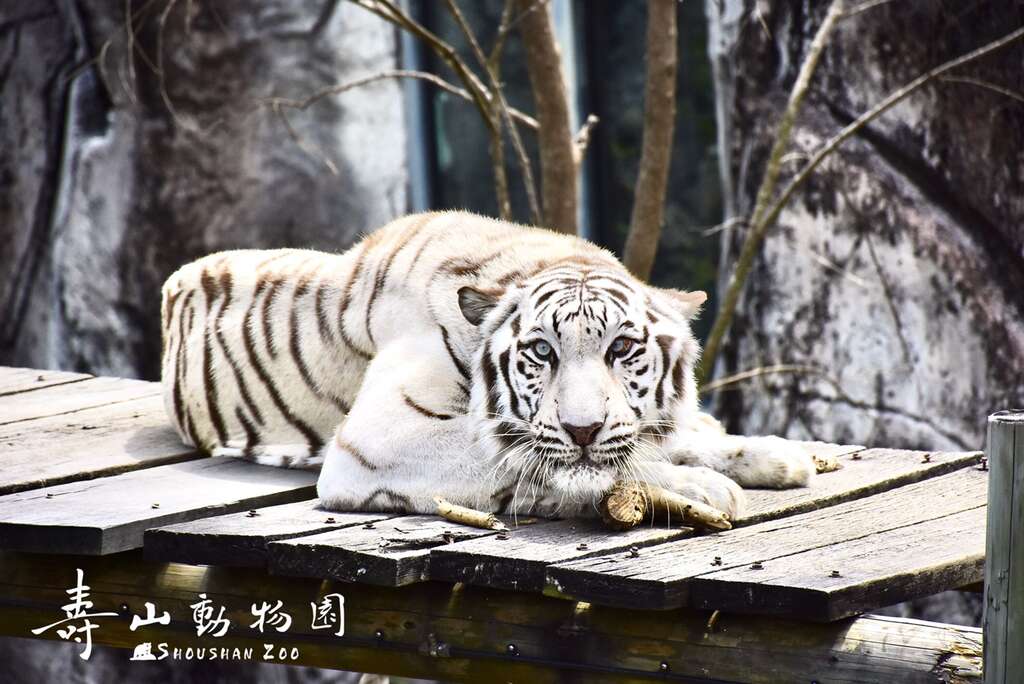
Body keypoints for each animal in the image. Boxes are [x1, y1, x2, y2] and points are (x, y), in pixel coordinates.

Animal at [160, 211, 818, 520]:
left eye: (621, 349)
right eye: (542, 352)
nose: (583, 429)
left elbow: (663, 440)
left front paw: (778, 456)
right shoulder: (376, 441)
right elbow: (538, 458)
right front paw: (702, 486)